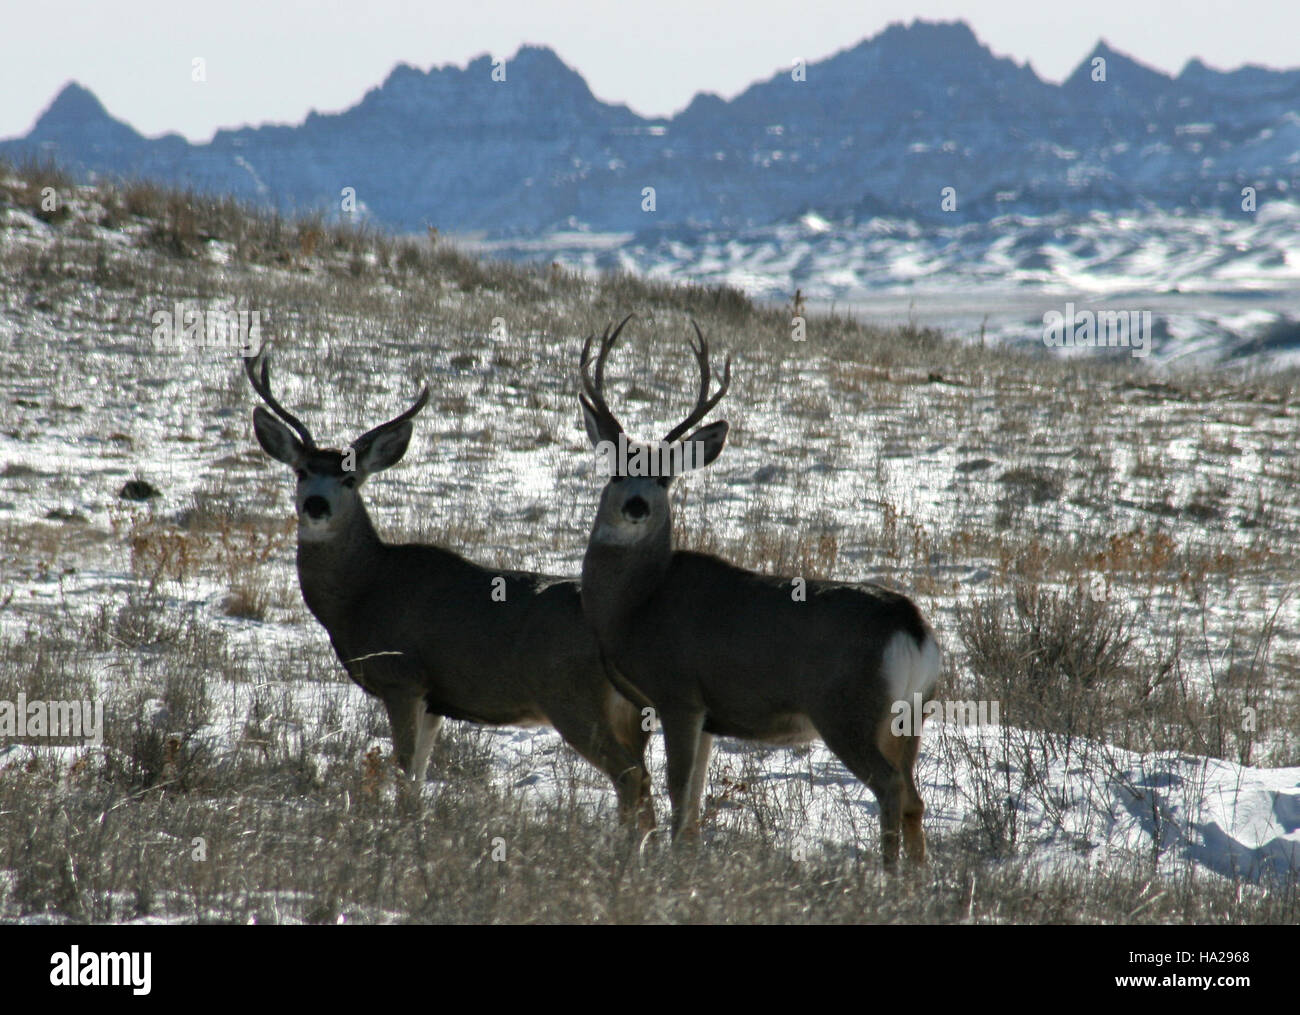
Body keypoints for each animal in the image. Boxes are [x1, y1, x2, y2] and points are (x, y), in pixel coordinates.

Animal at [242, 346, 653, 829]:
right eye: (302, 471)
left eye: (349, 478)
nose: (316, 504)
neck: (362, 592)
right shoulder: (435, 699)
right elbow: (418, 774)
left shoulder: (401, 676)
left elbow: (404, 769)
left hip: (572, 698)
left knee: (630, 776)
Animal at [576, 316, 941, 863]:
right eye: (618, 467)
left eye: (665, 478)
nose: (636, 505)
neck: (635, 606)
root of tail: (911, 625)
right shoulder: (708, 715)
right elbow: (694, 797)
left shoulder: (678, 692)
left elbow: (677, 789)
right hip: (910, 719)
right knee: (915, 797)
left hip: (847, 709)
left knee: (891, 787)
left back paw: (889, 873)